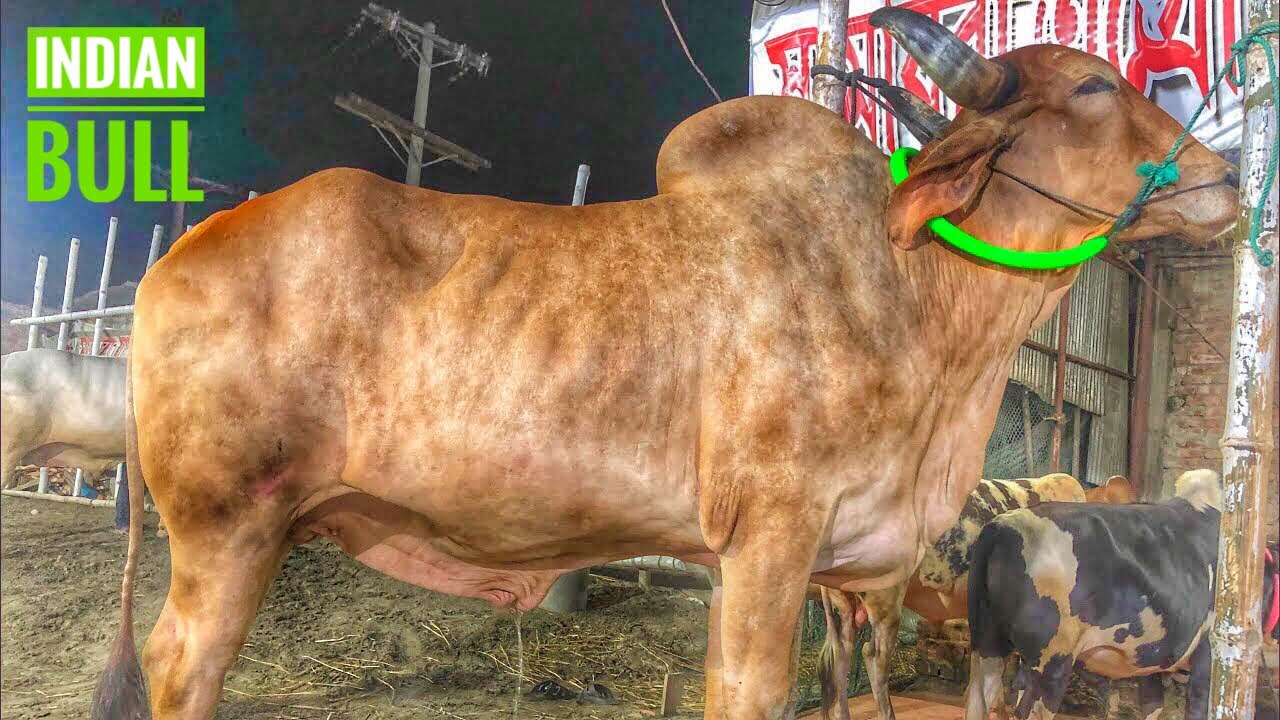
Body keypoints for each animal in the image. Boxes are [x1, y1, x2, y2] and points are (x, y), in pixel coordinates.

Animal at [961, 469, 1280, 720]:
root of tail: (1000, 527)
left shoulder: (1151, 660)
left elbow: (1152, 707)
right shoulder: (1208, 655)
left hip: (986, 643)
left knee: (979, 698)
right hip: (1051, 662)